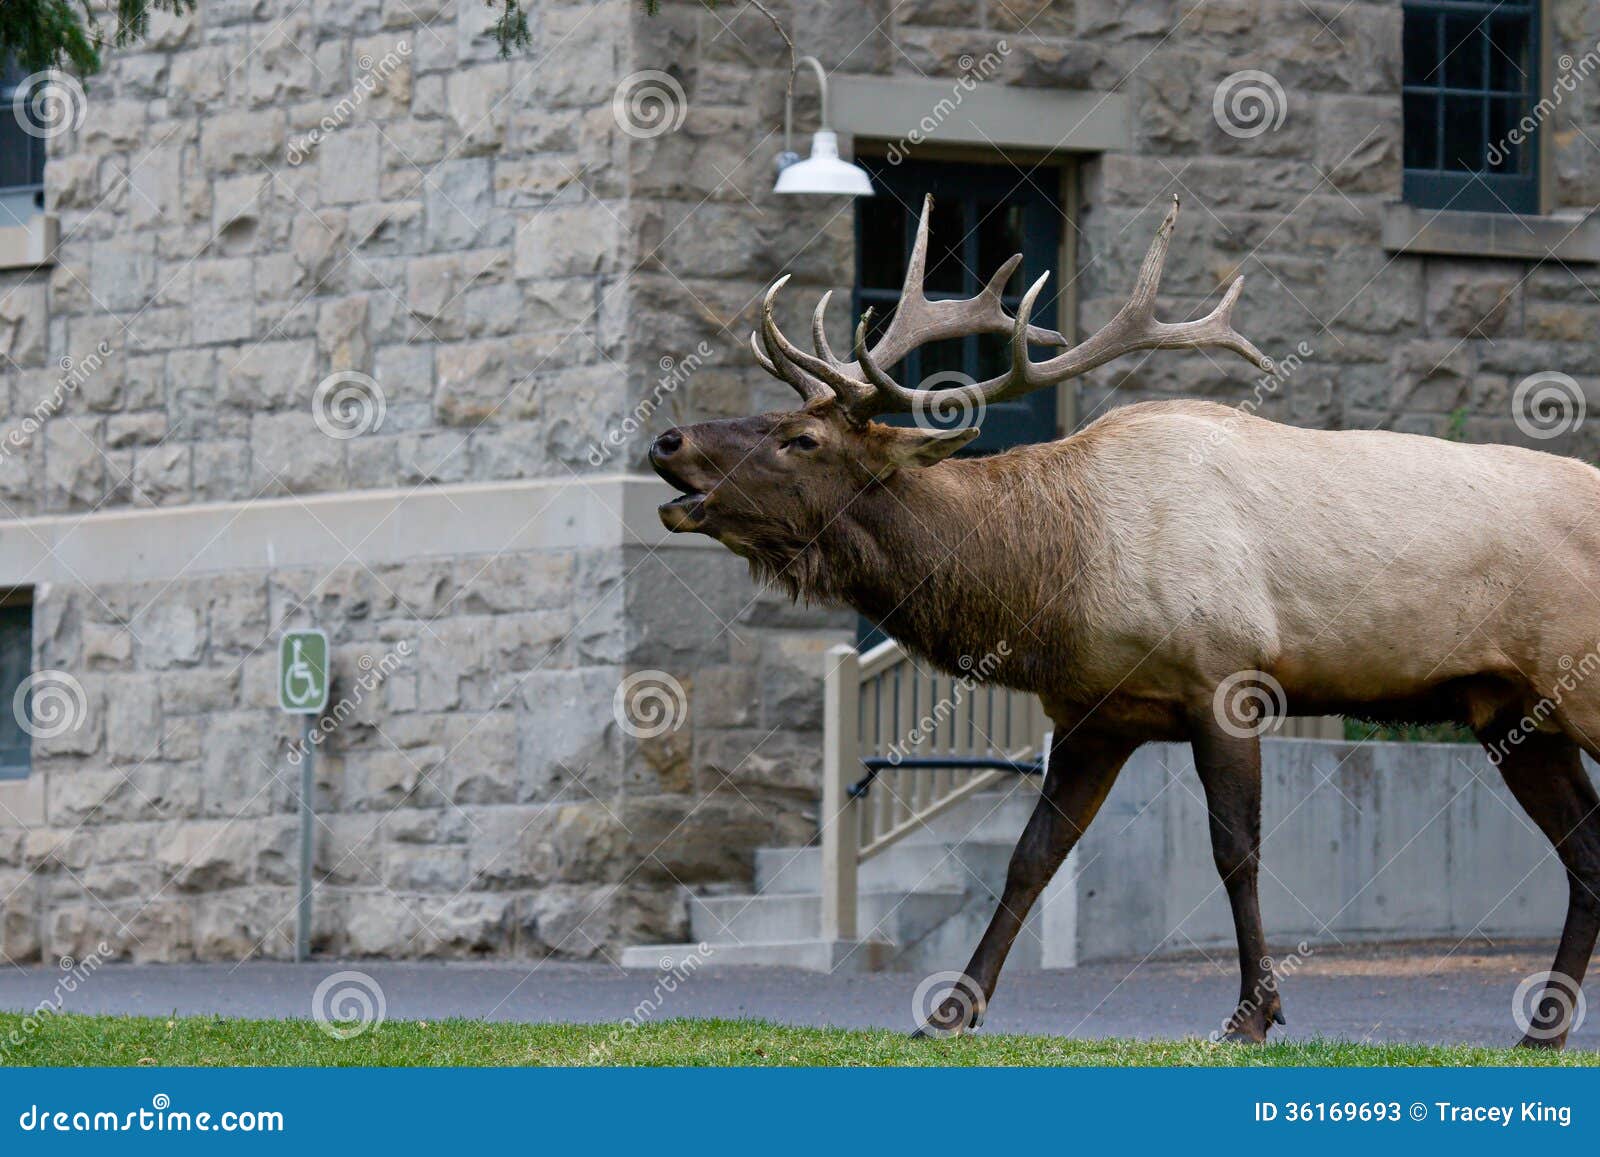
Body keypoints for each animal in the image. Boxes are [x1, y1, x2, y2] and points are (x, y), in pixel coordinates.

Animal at [649, 194, 1600, 1048]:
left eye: (802, 440)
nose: (667, 441)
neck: (1054, 579)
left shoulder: (1227, 678)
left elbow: (1235, 853)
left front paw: (1254, 1014)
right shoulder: (1095, 714)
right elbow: (1030, 859)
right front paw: (951, 1008)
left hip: (1575, 689)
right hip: (1514, 710)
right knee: (1585, 855)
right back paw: (1542, 1028)